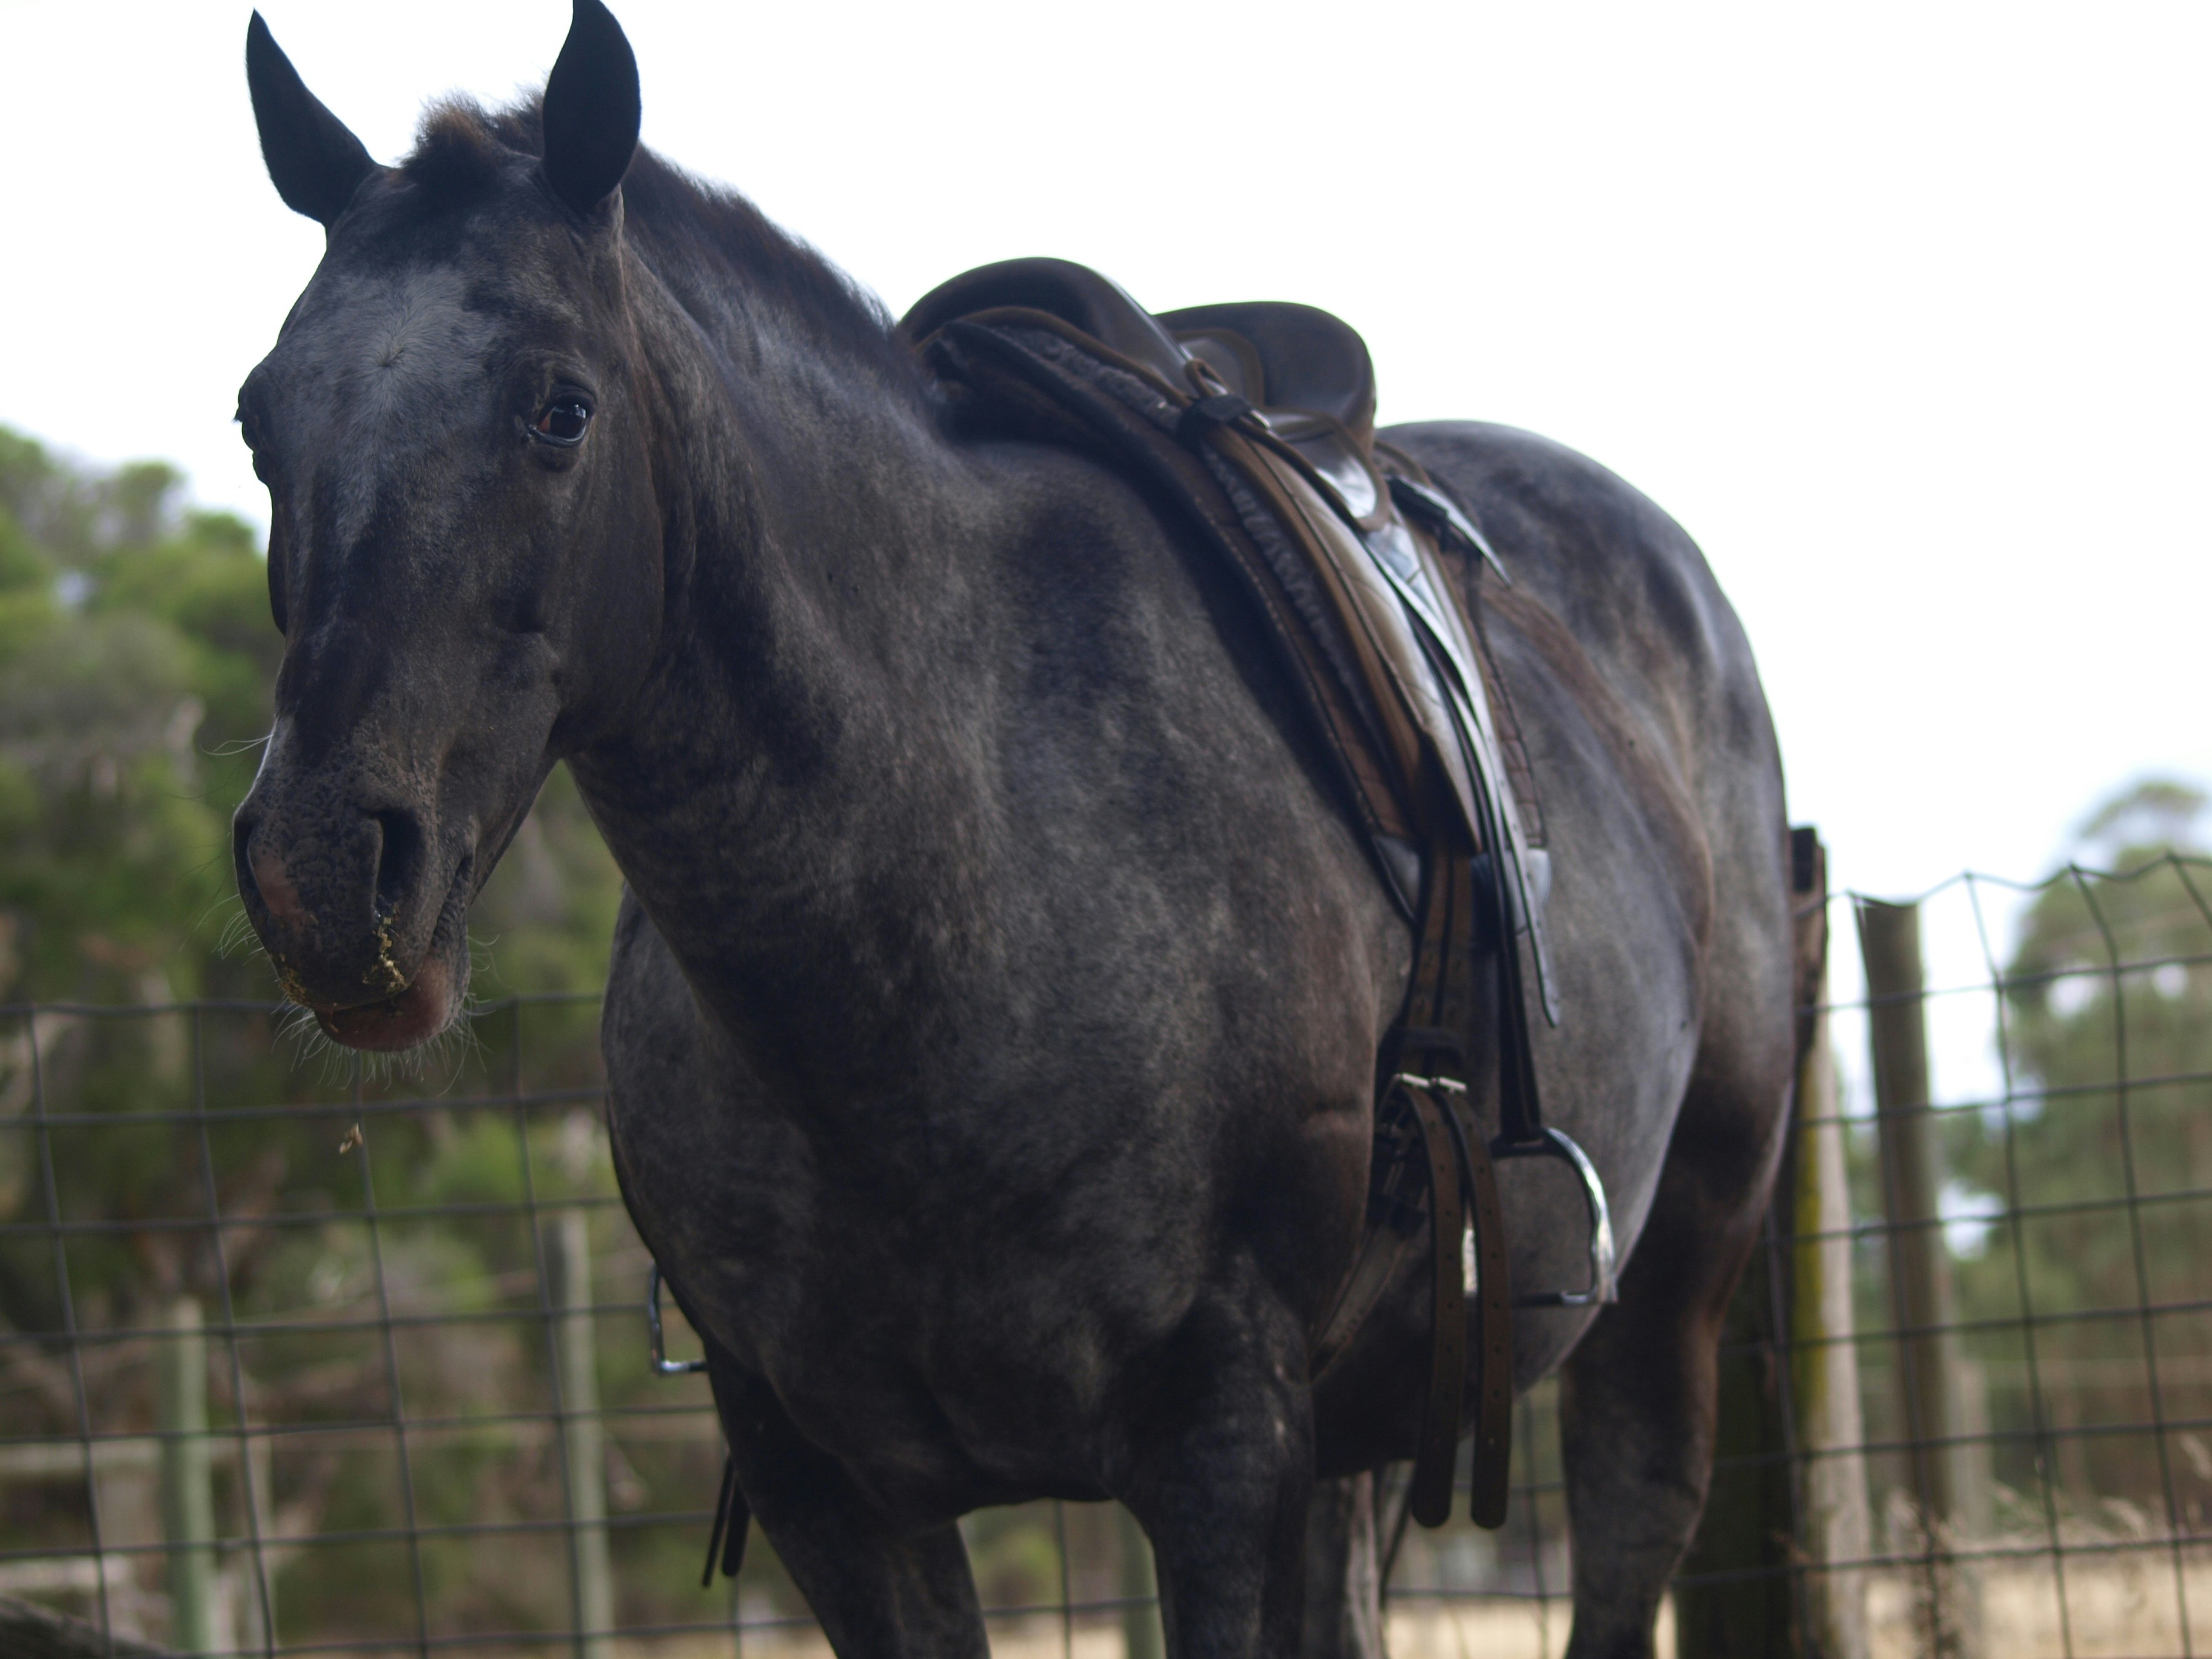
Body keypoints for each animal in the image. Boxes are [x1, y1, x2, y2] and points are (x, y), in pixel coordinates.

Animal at [230, 5, 1797, 1655]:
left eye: (559, 406)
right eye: (260, 420)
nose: (320, 873)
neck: (931, 929)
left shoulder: (1224, 1450)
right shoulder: (828, 1489)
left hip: (1669, 1291)